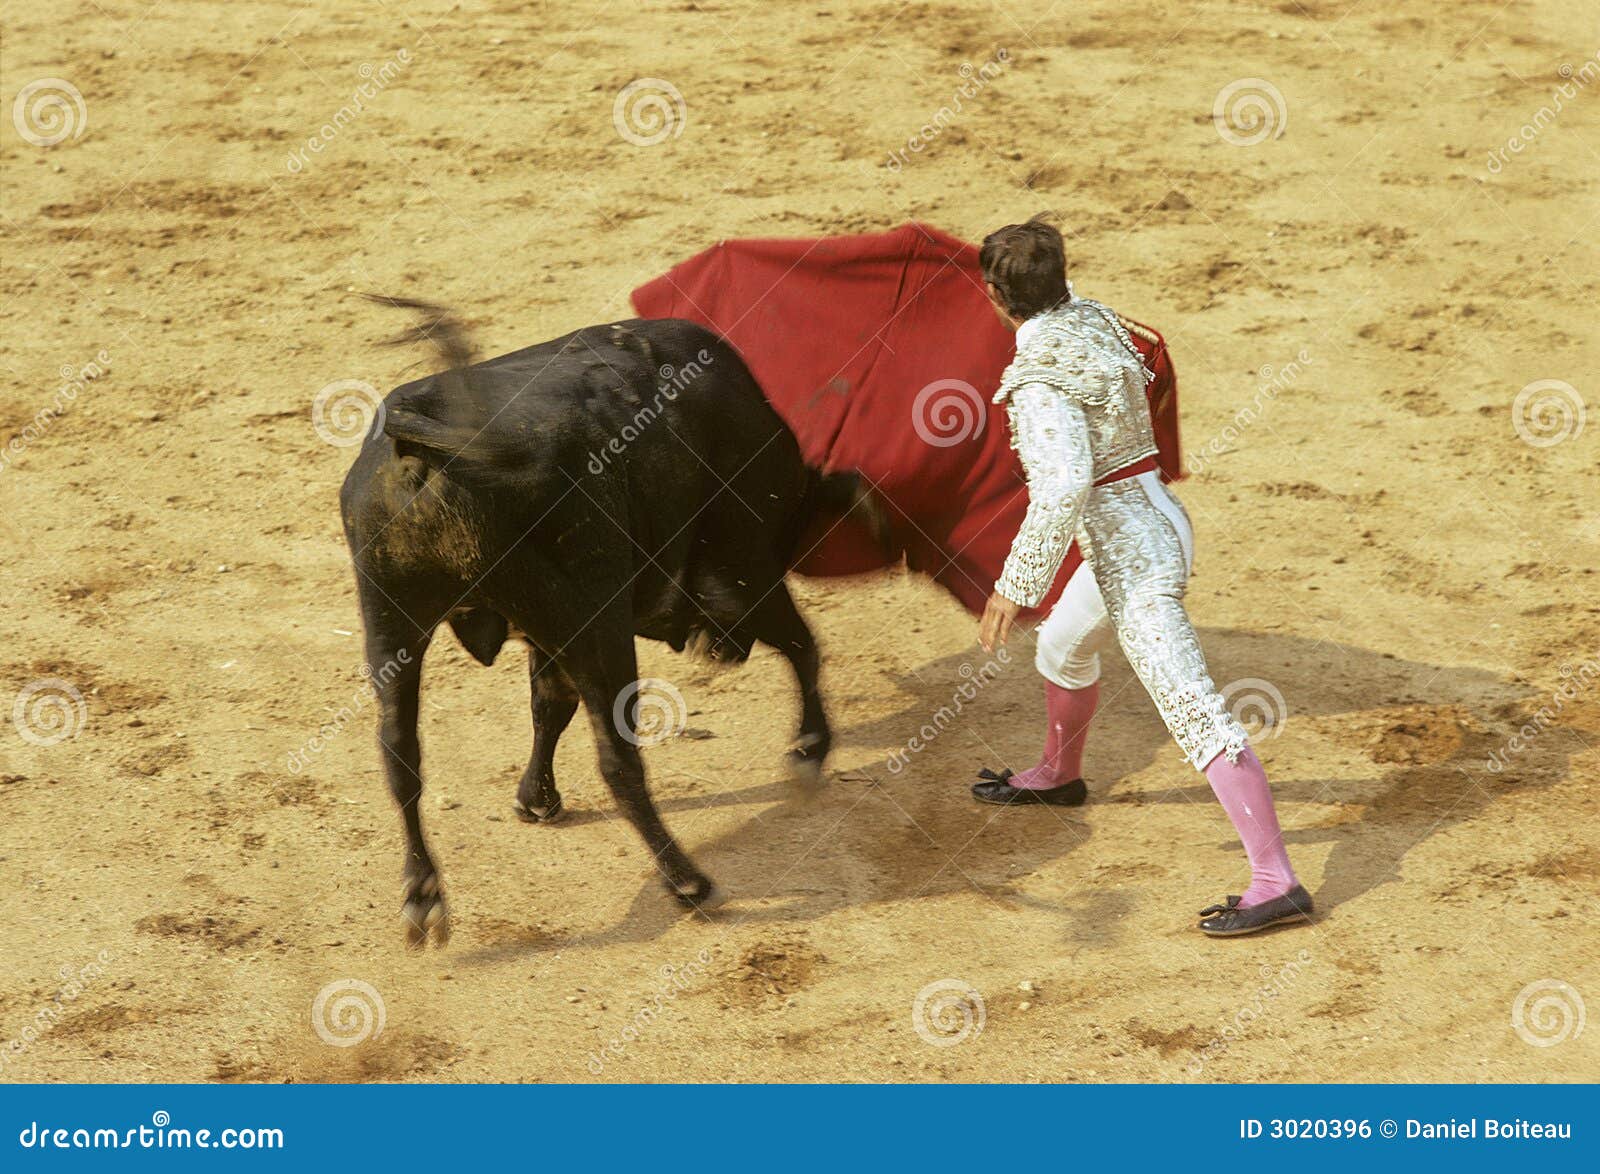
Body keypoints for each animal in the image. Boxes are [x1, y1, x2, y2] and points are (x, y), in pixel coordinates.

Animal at [340, 303, 889, 946]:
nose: (724, 651)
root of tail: (417, 448)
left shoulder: (547, 631)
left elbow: (549, 704)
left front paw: (535, 799)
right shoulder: (744, 569)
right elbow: (803, 643)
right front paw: (809, 750)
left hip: (390, 626)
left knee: (400, 753)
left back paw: (423, 894)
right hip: (601, 622)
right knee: (619, 761)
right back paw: (688, 882)